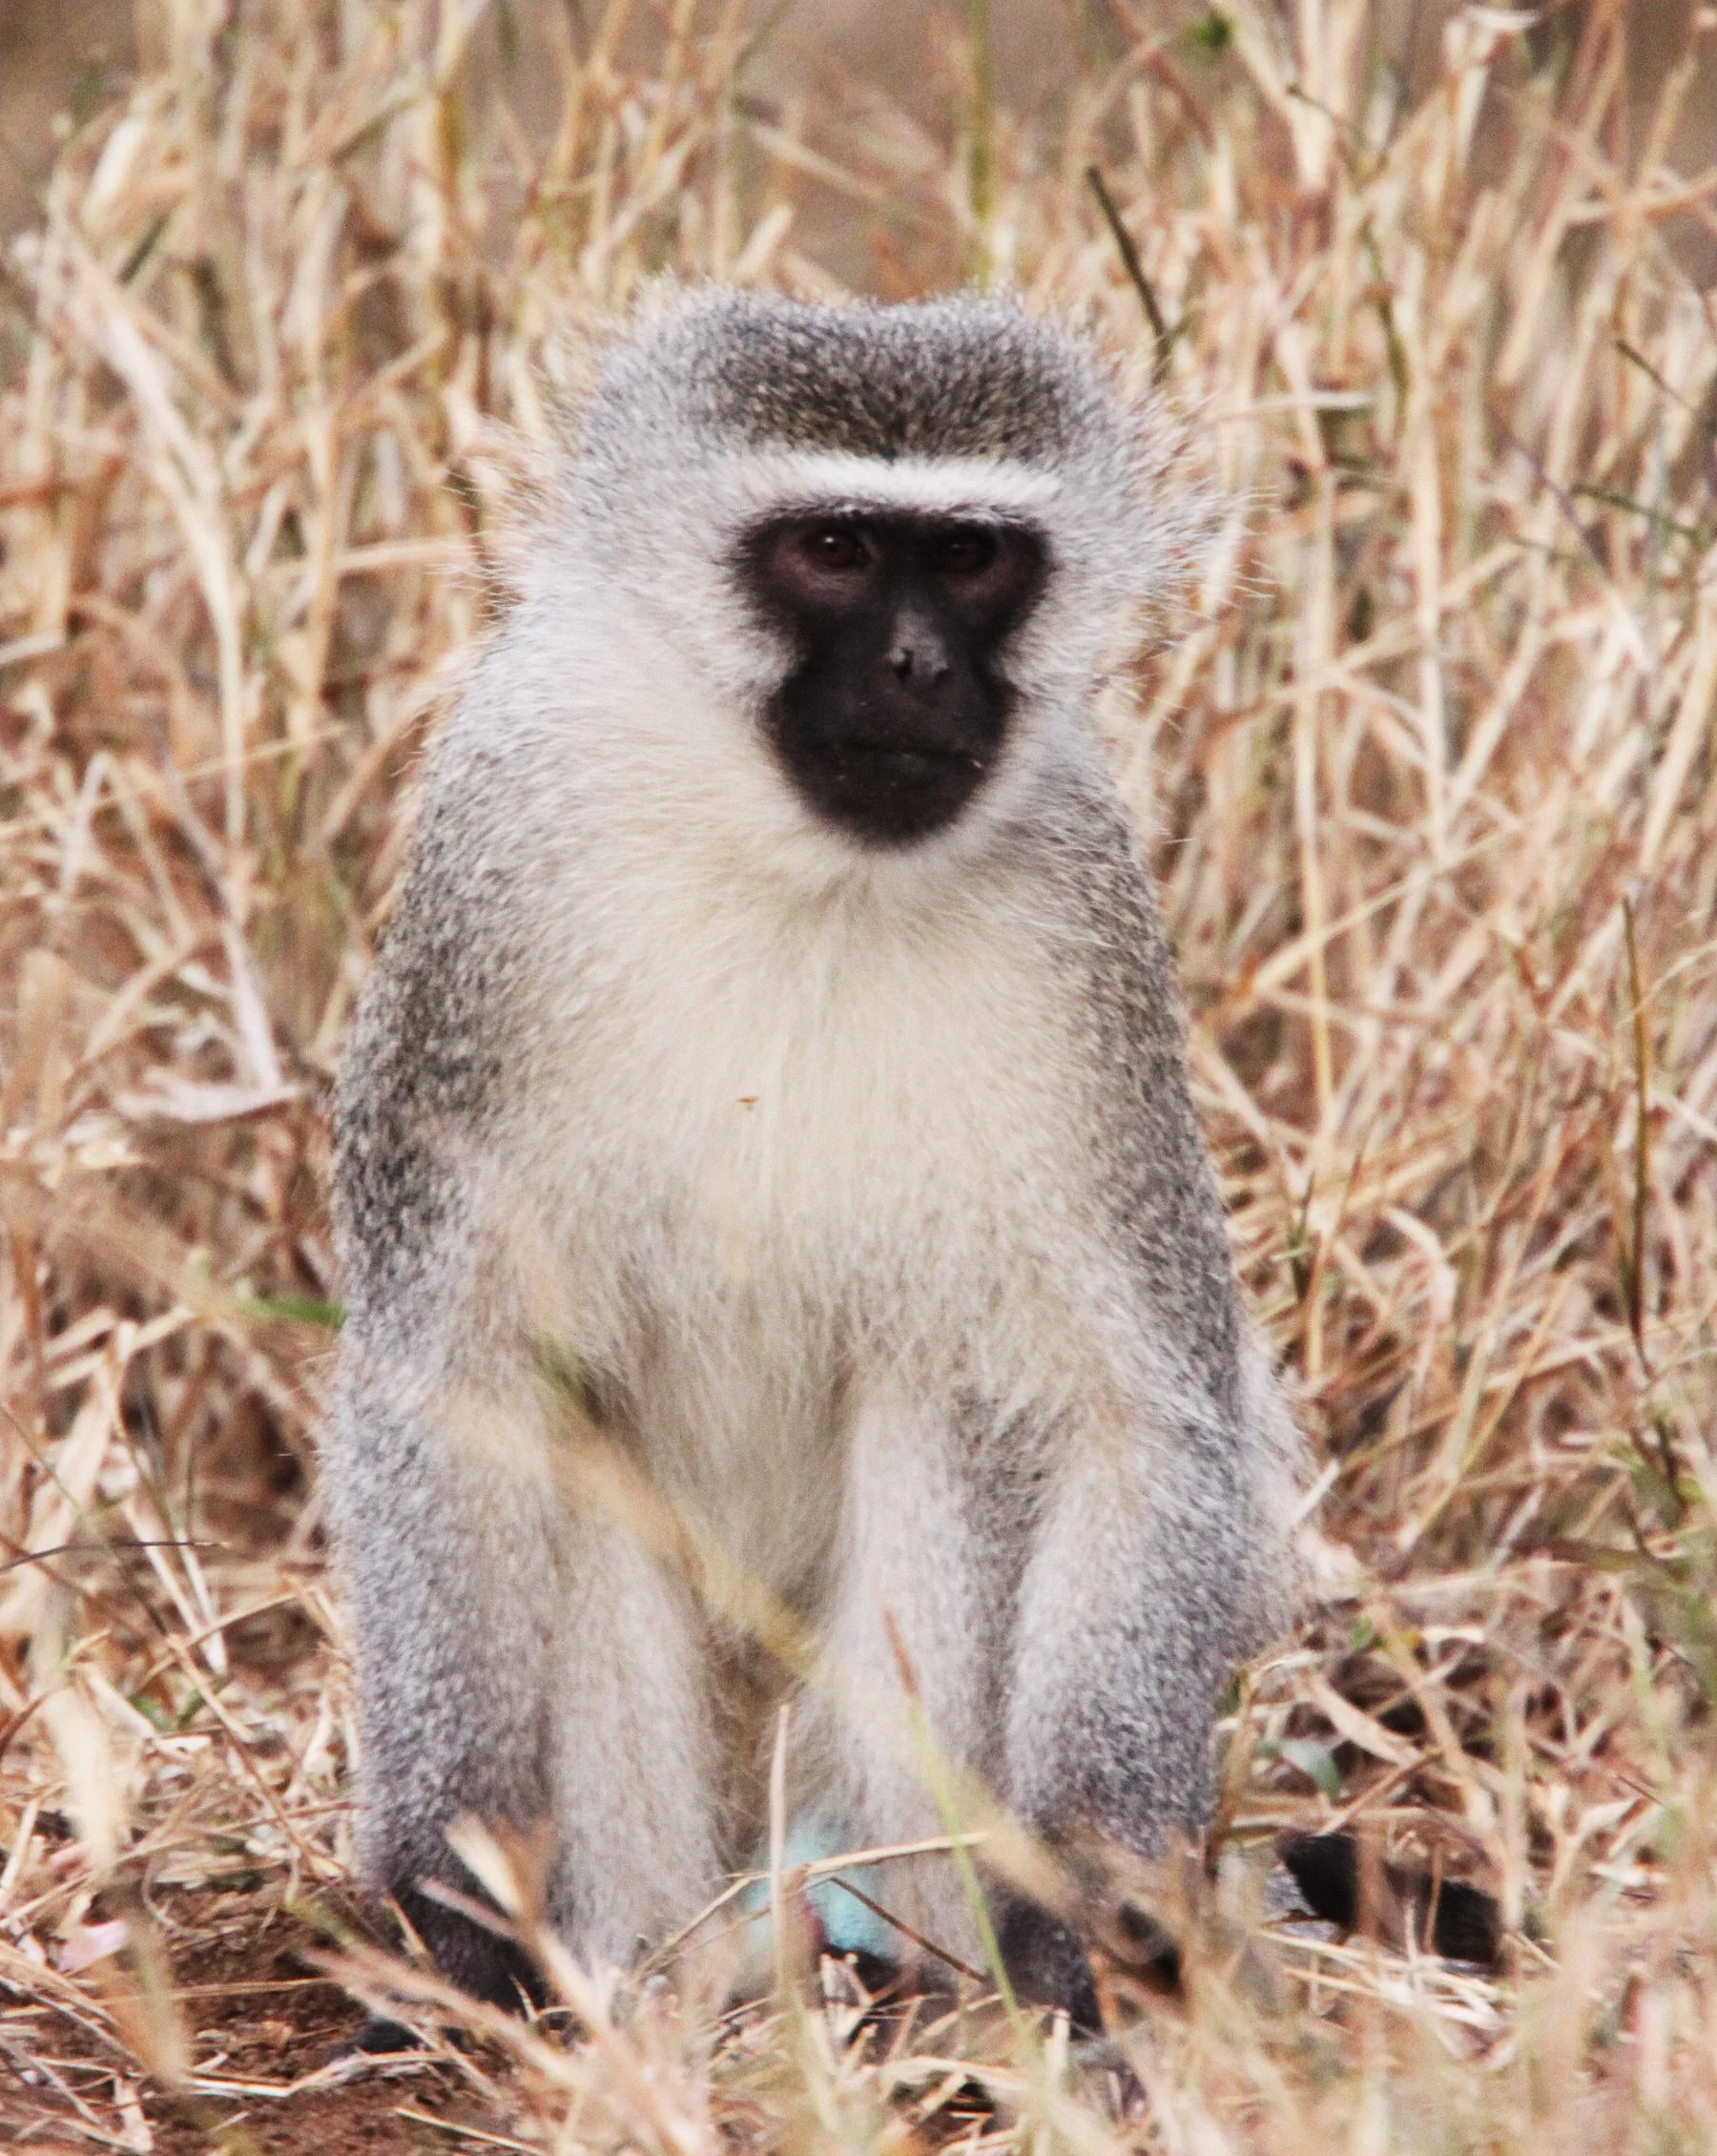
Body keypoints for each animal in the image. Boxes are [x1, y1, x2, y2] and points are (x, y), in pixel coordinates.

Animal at [324, 287, 1304, 2032]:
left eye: (972, 560)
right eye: (835, 549)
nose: (918, 665)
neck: (805, 870)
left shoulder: (1085, 932)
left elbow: (1133, 1413)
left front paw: (1090, 1900)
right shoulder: (501, 859)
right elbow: (458, 1376)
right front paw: (454, 1886)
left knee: (942, 1397)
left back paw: (889, 1957)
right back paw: (652, 1973)